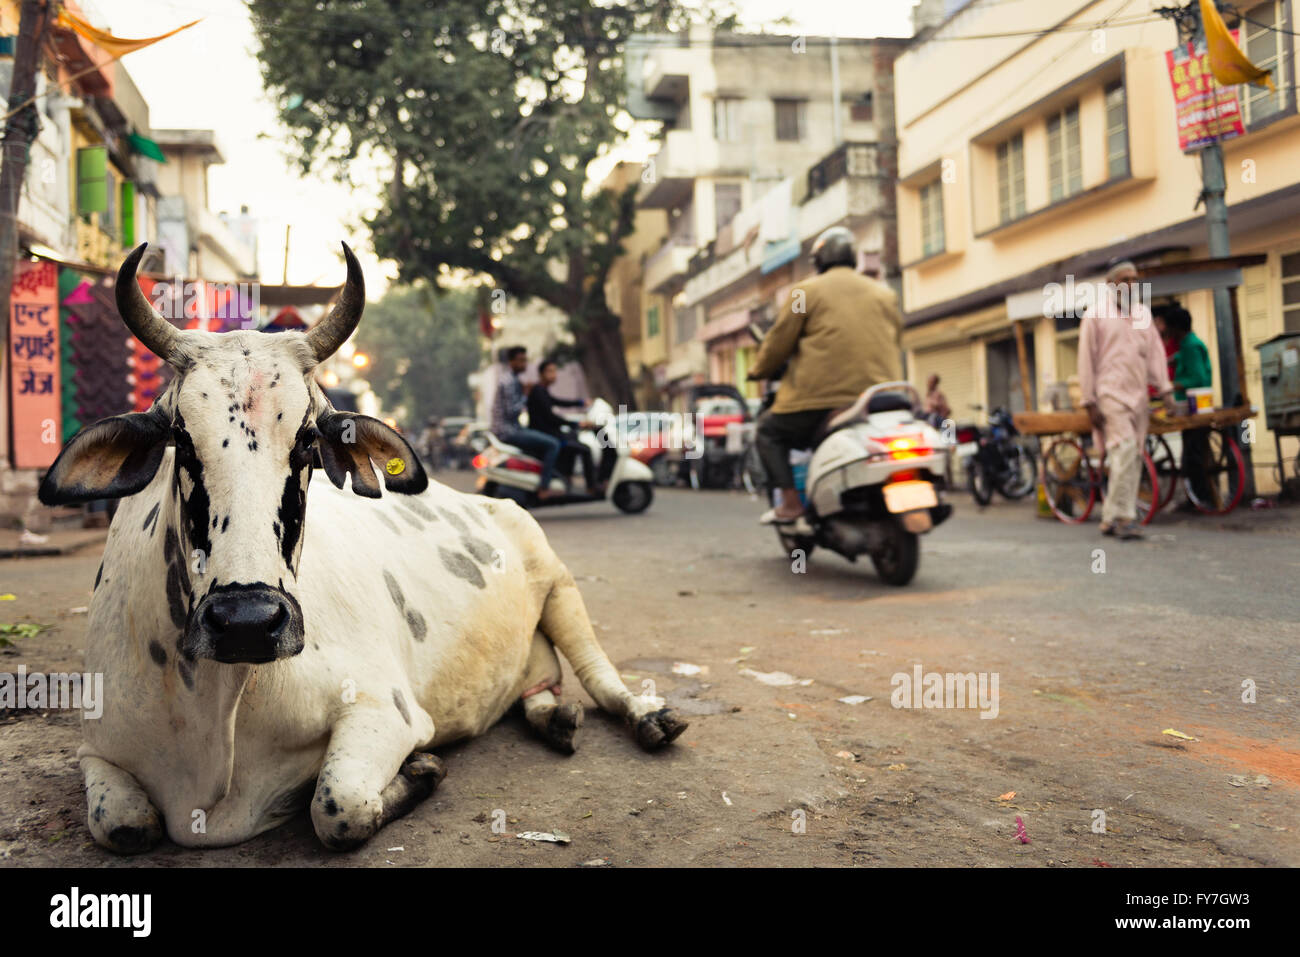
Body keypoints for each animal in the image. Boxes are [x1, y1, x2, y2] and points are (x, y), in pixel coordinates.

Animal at [38, 243, 688, 853]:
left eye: (306, 440)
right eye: (180, 435)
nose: (247, 620)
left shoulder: (383, 709)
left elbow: (338, 807)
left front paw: (421, 770)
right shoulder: (98, 750)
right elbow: (123, 824)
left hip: (557, 578)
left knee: (598, 673)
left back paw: (646, 716)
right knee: (540, 683)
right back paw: (553, 716)